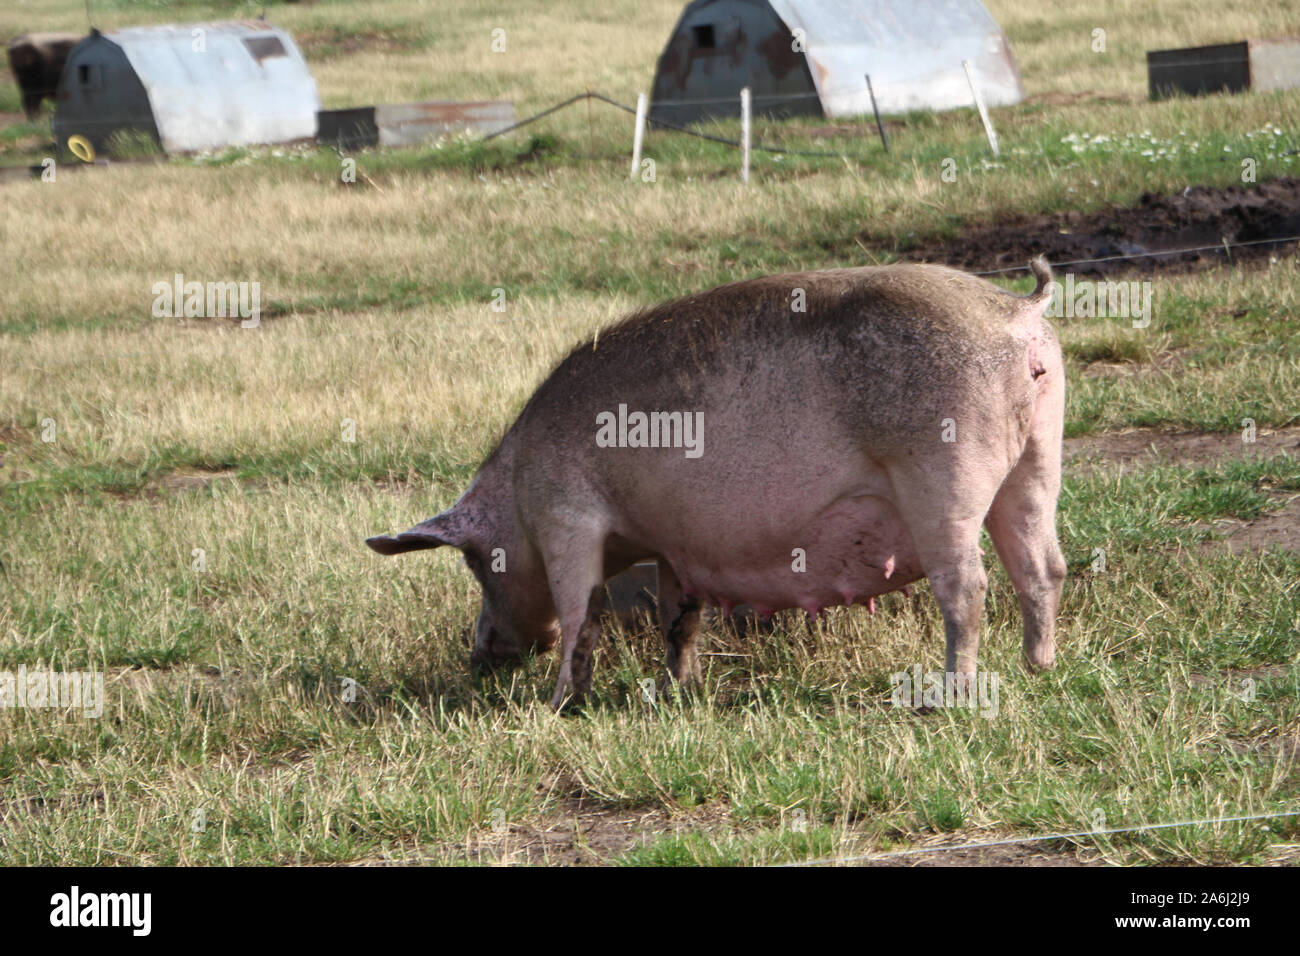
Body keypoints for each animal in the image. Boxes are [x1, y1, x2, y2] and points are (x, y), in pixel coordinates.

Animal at [367, 258, 1067, 710]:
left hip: (943, 474)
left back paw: (950, 698)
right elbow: (680, 617)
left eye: (477, 562)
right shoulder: (674, 546)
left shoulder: (566, 517)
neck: (515, 490)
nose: (480, 654)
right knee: (1043, 565)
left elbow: (580, 612)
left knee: (968, 585)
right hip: (1038, 458)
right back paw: (1039, 667)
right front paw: (677, 691)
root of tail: (1016, 310)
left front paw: (561, 704)